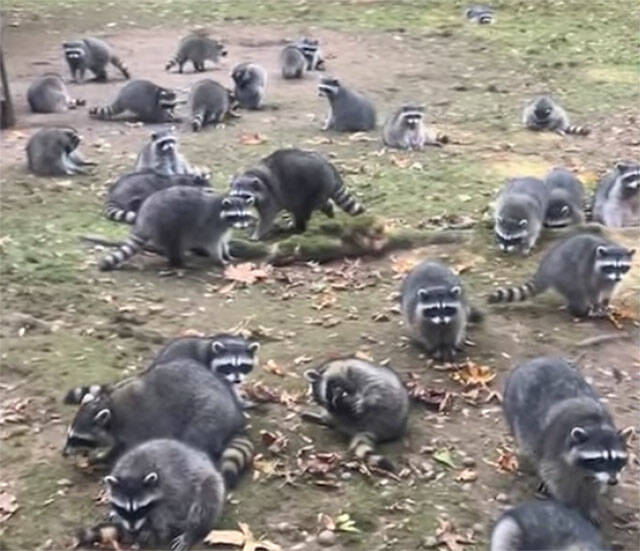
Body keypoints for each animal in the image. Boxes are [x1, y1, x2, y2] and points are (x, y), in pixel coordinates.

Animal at [62, 359, 247, 466]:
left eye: (78, 439)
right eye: (69, 435)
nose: (64, 453)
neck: (111, 408)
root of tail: (236, 413)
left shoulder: (138, 426)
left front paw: (107, 460)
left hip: (210, 414)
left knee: (196, 438)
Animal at [98, 187, 254, 271]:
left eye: (244, 216)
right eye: (235, 216)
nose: (243, 226)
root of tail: (144, 217)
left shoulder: (224, 229)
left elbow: (223, 241)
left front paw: (227, 253)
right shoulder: (210, 226)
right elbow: (212, 244)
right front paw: (219, 259)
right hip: (166, 224)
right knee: (174, 243)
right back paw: (178, 262)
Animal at [229, 148, 364, 240]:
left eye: (244, 195)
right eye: (236, 195)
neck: (251, 175)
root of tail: (329, 166)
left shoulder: (269, 195)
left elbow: (267, 217)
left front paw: (257, 234)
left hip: (316, 186)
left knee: (304, 208)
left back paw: (300, 227)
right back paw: (327, 208)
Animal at [488, 233, 634, 317]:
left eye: (622, 267)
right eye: (611, 266)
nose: (618, 278)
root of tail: (546, 268)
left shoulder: (611, 281)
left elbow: (608, 291)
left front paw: (605, 304)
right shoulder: (590, 274)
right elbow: (592, 291)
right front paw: (597, 306)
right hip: (566, 275)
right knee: (578, 293)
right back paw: (580, 311)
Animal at [503, 357, 628, 521]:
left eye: (618, 460)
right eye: (600, 460)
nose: (613, 481)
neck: (594, 424)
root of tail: (535, 360)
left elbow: (592, 486)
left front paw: (591, 505)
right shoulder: (555, 450)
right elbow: (557, 480)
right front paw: (570, 505)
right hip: (515, 412)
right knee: (529, 446)